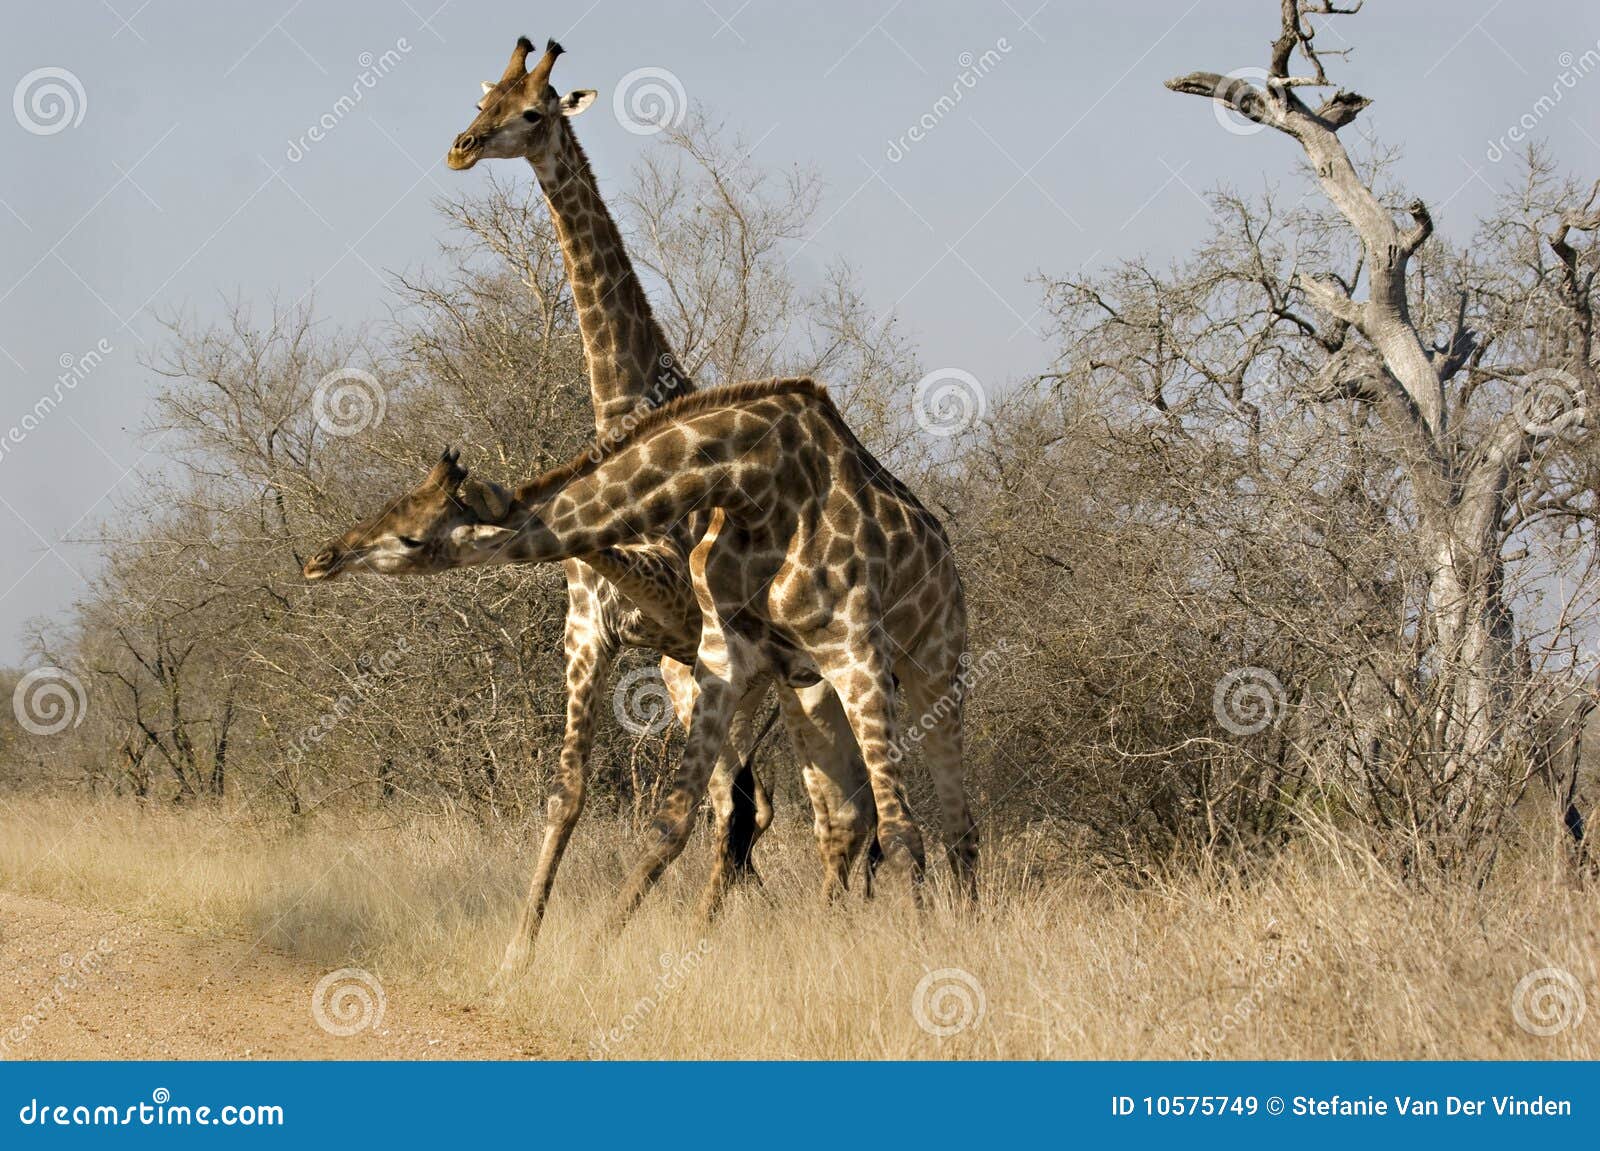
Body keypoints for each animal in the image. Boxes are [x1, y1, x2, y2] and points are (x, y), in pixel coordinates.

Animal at [302, 378, 979, 921]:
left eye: (412, 538)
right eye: (391, 504)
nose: (319, 559)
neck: (755, 487)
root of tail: (945, 550)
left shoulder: (856, 650)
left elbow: (904, 837)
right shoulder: (725, 658)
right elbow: (668, 822)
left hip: (928, 668)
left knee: (950, 829)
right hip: (809, 690)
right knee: (844, 819)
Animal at [441, 36, 879, 964]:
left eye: (533, 111)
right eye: (484, 97)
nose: (461, 146)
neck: (627, 399)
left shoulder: (683, 614)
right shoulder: (590, 631)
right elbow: (567, 792)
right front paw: (519, 949)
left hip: (779, 674)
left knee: (800, 808)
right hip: (731, 679)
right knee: (783, 807)